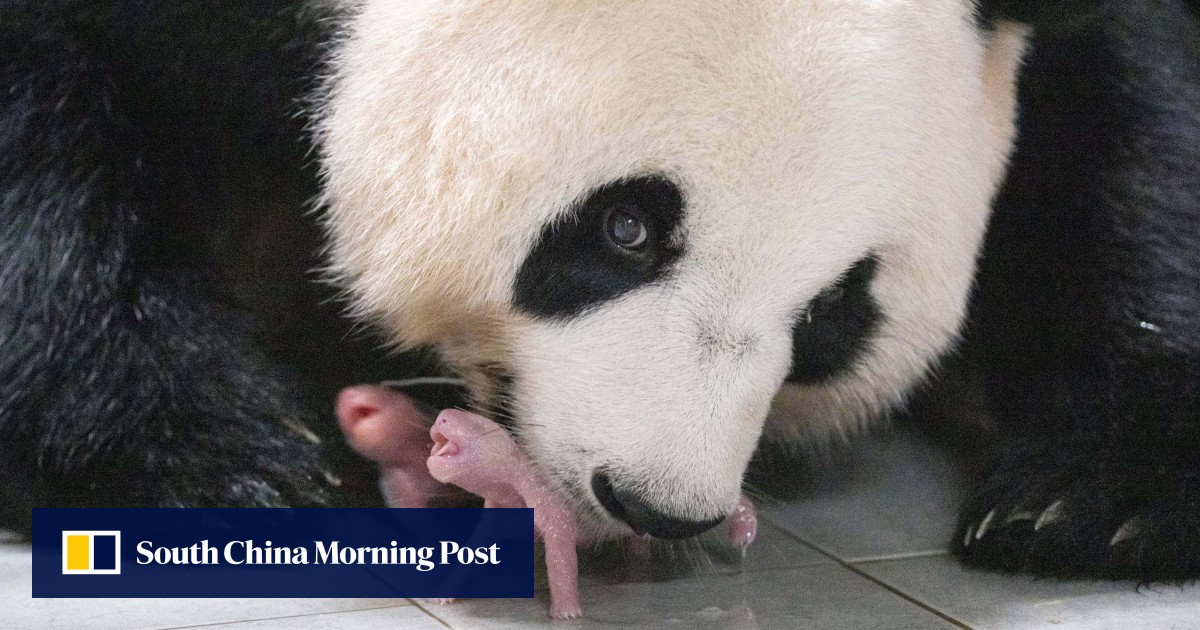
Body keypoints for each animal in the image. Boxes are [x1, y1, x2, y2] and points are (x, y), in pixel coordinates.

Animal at [2, 0, 1198, 584]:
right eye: (626, 228)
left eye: (833, 314)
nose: (658, 505)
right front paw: (222, 461)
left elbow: (1129, 122)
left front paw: (1099, 498)